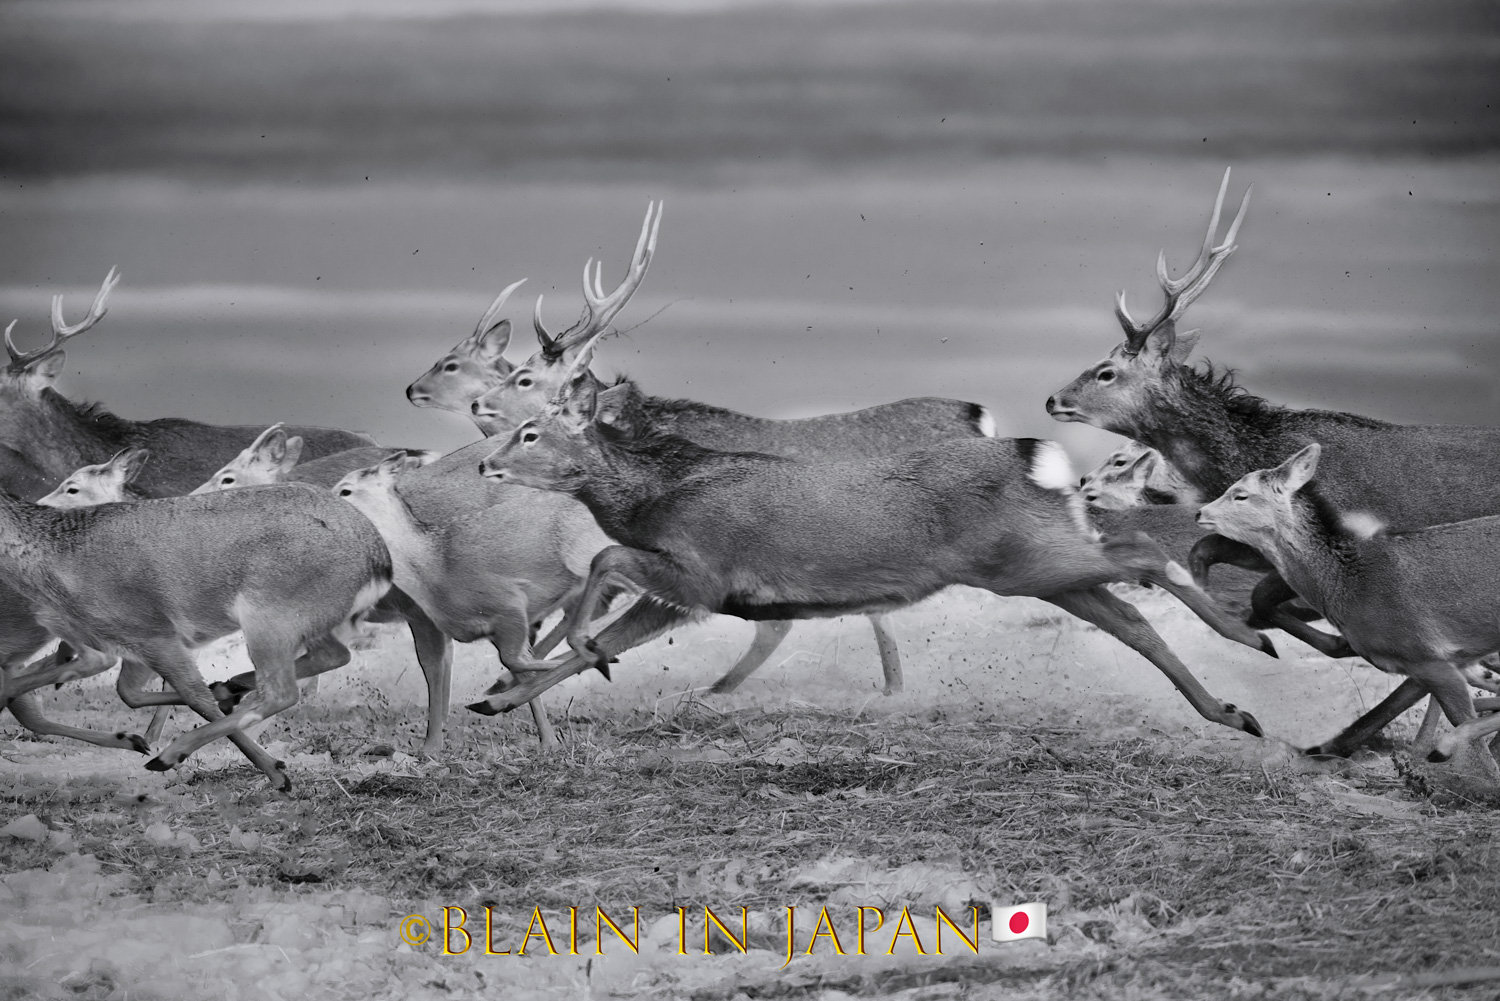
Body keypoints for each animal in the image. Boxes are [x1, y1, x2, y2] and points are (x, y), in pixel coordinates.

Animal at [0, 484, 392, 789]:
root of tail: (379, 561)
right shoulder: (132, 643)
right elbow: (131, 692)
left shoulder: (149, 633)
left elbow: (192, 695)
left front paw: (276, 771)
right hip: (309, 620)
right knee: (334, 655)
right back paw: (232, 687)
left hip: (270, 616)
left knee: (281, 691)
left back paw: (172, 754)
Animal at [466, 331, 1277, 735]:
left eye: (530, 431)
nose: (482, 463)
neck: (657, 492)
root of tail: (1023, 454)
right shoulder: (687, 591)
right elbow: (610, 628)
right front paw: (502, 696)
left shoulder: (703, 573)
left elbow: (602, 561)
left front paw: (565, 655)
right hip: (1041, 567)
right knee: (1134, 616)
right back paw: (1236, 711)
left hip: (1028, 561)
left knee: (1145, 557)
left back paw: (1252, 641)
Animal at [1197, 444, 1500, 783]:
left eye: (1241, 495)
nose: (1200, 513)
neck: (1354, 588)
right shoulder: (1435, 661)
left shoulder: (1426, 655)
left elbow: (1469, 733)